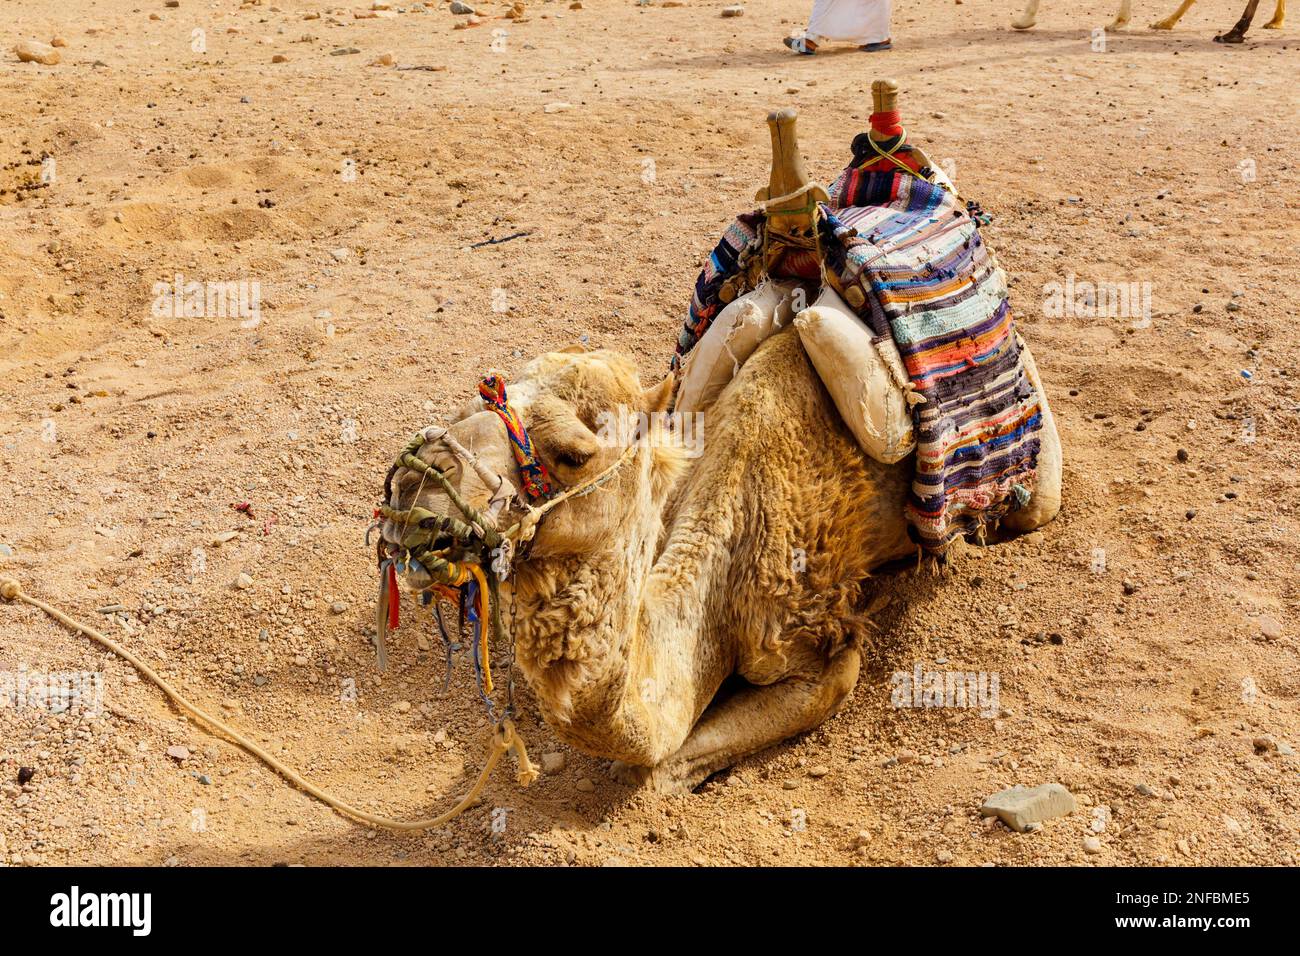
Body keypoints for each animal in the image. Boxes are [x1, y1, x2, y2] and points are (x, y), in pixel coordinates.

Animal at [377, 99, 1063, 793]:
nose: (415, 486)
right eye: (474, 402)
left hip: (1033, 470)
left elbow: (660, 772)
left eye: (574, 452)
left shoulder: (818, 642)